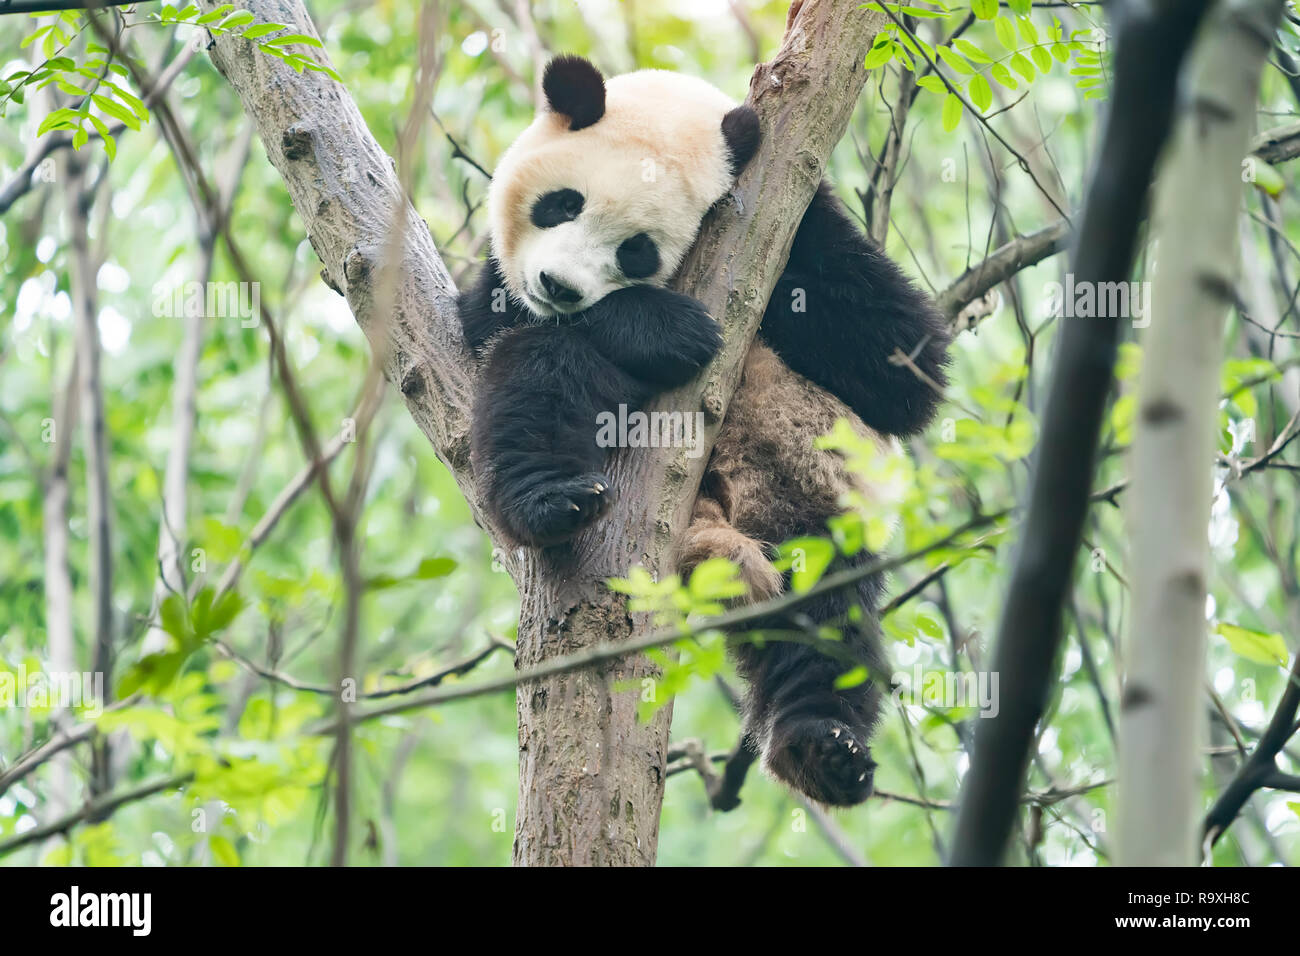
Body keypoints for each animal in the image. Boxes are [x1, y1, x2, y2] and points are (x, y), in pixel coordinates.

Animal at [459, 55, 950, 807]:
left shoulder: (808, 220)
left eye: (636, 251)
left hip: (823, 514)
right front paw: (660, 329)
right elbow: (490, 327)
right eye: (563, 204)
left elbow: (905, 367)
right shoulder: (495, 295)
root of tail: (720, 504)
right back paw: (551, 501)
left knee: (829, 630)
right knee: (539, 375)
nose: (559, 286)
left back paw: (824, 750)